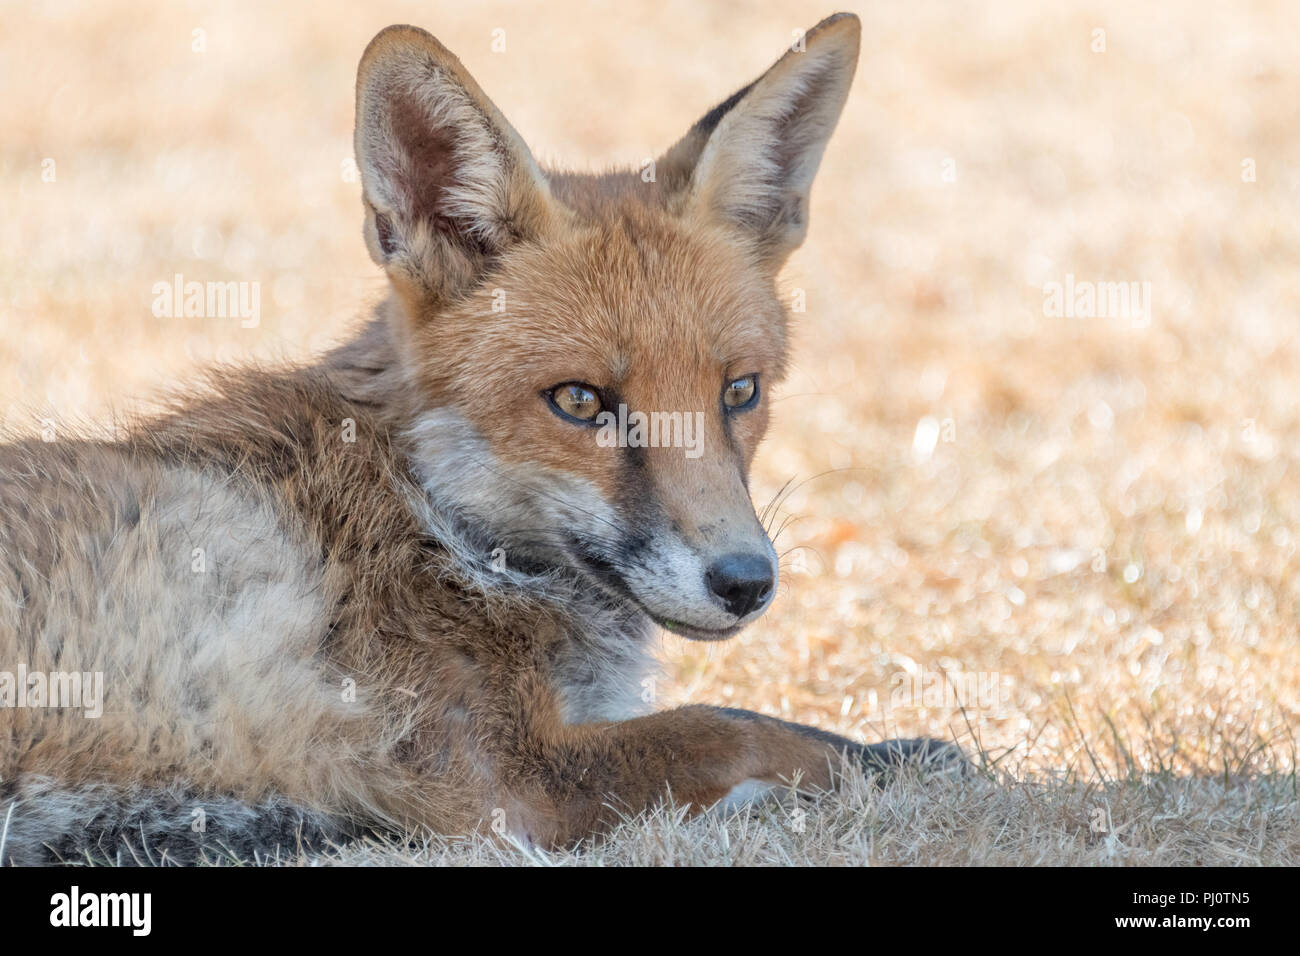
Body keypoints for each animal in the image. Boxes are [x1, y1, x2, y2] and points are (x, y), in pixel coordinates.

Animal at [0, 13, 963, 864]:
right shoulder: (497, 781)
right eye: (578, 401)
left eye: (740, 392)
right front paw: (899, 760)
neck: (427, 514)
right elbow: (730, 728)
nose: (745, 582)